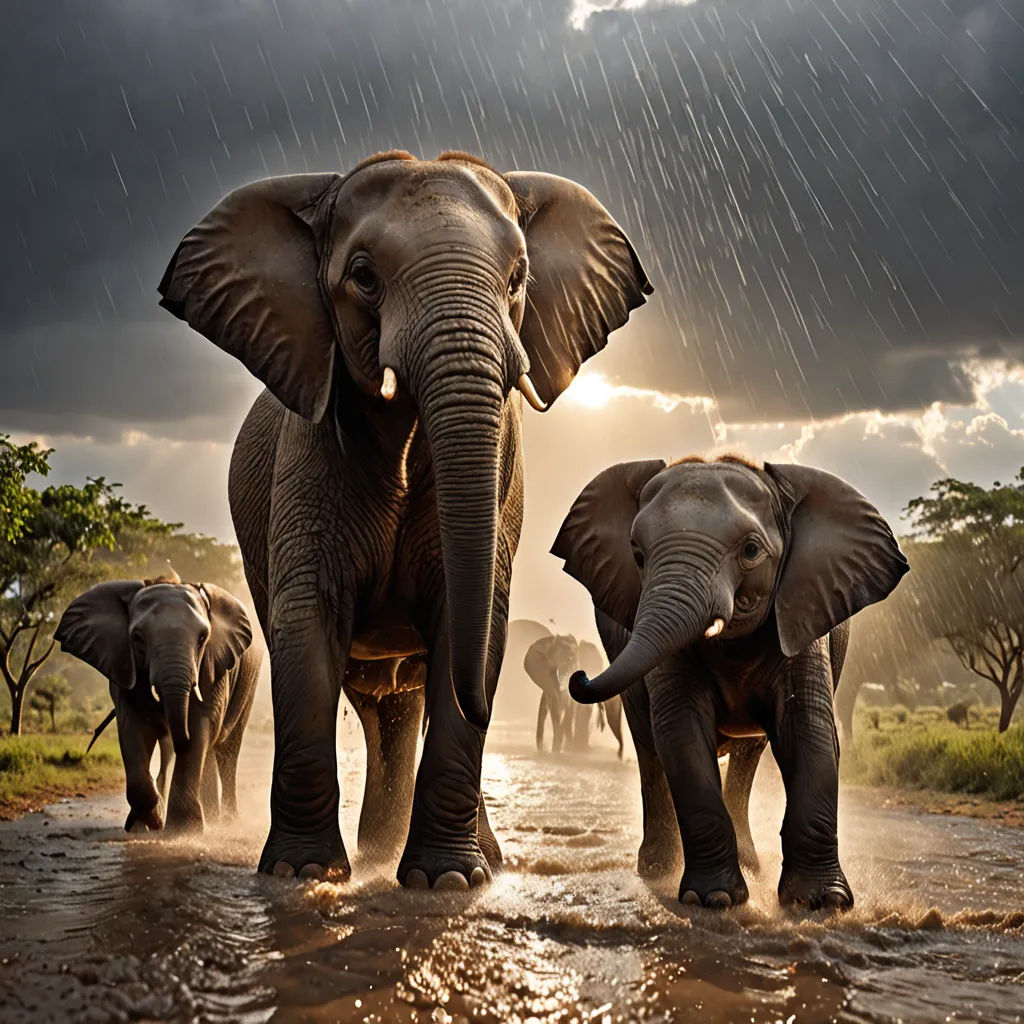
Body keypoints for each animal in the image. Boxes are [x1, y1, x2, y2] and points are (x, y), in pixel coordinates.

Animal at [54, 572, 261, 834]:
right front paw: (149, 823)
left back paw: (225, 822)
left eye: (203, 638)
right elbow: (132, 727)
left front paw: (183, 831)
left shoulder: (214, 665)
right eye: (137, 638)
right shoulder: (122, 664)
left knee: (227, 748)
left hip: (248, 682)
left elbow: (202, 723)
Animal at [157, 149, 651, 888]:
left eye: (518, 279)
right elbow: (308, 624)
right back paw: (373, 856)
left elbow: (468, 623)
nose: (578, 679)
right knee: (376, 704)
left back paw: (425, 858)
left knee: (405, 700)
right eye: (363, 277)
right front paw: (303, 872)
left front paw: (446, 880)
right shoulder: (308, 454)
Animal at [553, 454, 908, 910]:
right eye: (637, 554)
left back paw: (750, 863)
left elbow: (808, 729)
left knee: (746, 755)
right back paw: (657, 870)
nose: (577, 676)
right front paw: (714, 899)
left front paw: (821, 903)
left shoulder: (802, 612)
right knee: (649, 749)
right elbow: (681, 731)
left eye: (751, 551)